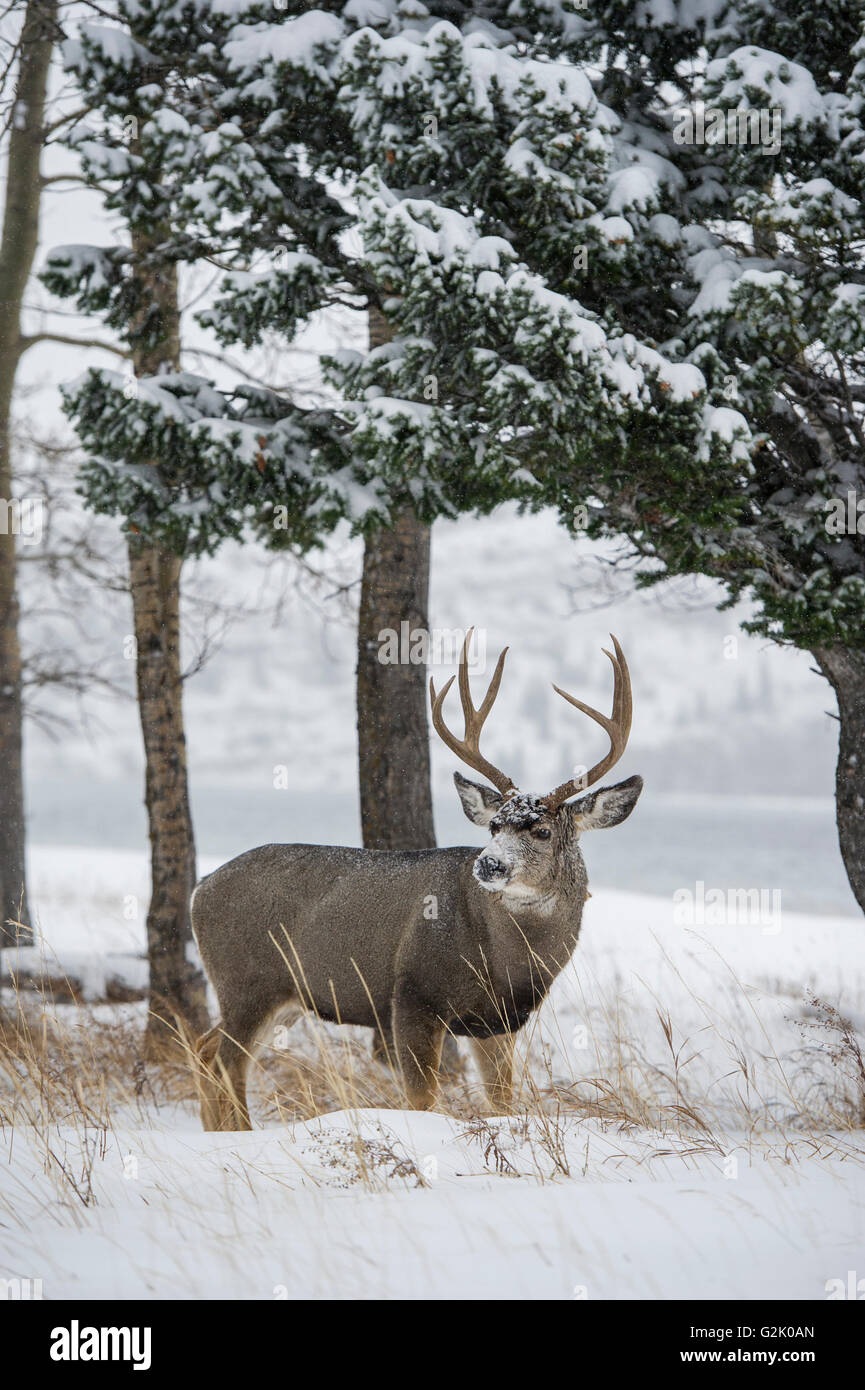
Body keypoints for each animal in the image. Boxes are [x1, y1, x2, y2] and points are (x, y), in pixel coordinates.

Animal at [192, 632, 642, 1129]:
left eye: (541, 831)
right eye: (494, 826)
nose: (489, 864)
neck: (505, 962)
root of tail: (200, 888)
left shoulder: (497, 1023)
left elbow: (503, 1101)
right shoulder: (413, 996)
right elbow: (422, 1100)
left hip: (283, 997)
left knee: (205, 1049)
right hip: (247, 980)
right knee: (226, 1063)